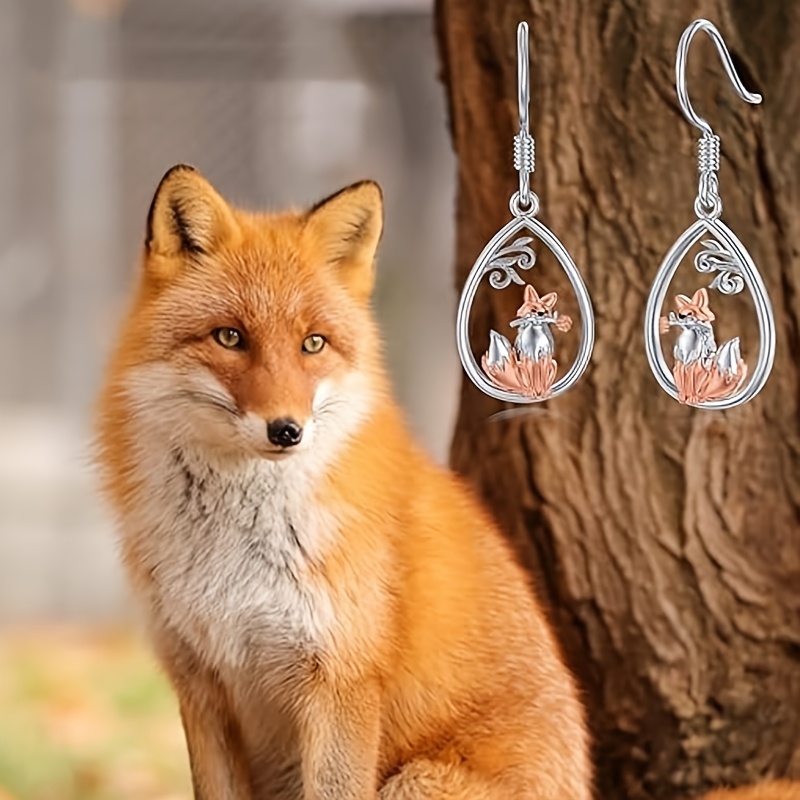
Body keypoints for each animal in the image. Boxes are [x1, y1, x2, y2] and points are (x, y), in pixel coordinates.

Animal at [93, 164, 591, 800]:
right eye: (229, 337)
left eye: (313, 343)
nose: (287, 430)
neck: (234, 560)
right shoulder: (200, 682)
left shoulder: (341, 682)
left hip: (412, 781)